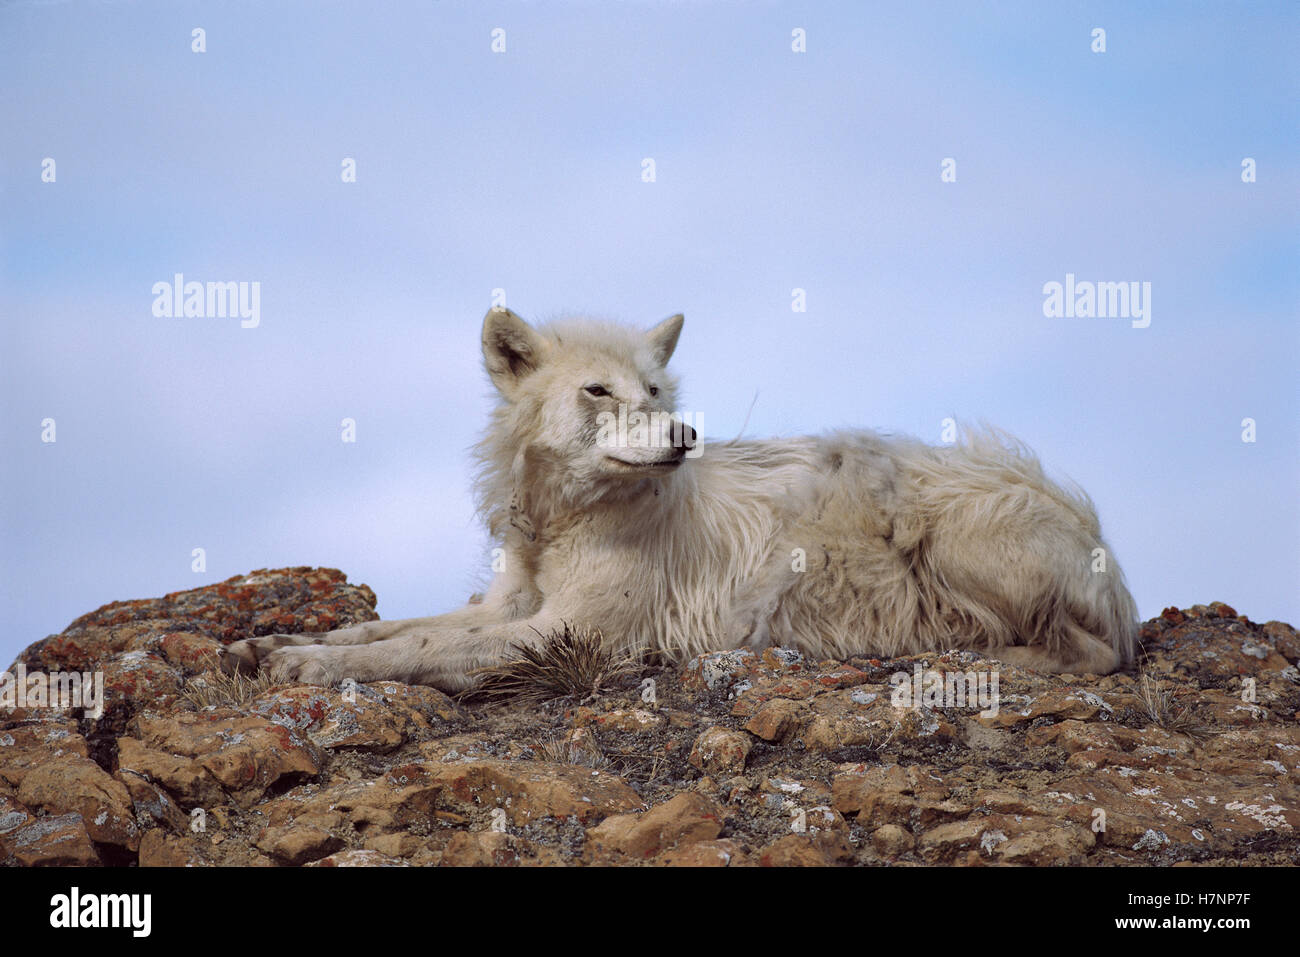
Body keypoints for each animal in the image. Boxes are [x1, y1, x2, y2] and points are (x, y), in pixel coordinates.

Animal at [222, 307, 1139, 691]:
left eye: (657, 389)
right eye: (599, 389)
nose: (683, 433)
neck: (569, 520)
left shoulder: (574, 634)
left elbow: (415, 649)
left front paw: (310, 665)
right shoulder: (510, 604)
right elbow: (392, 629)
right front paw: (276, 643)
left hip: (954, 537)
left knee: (1094, 655)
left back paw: (969, 658)